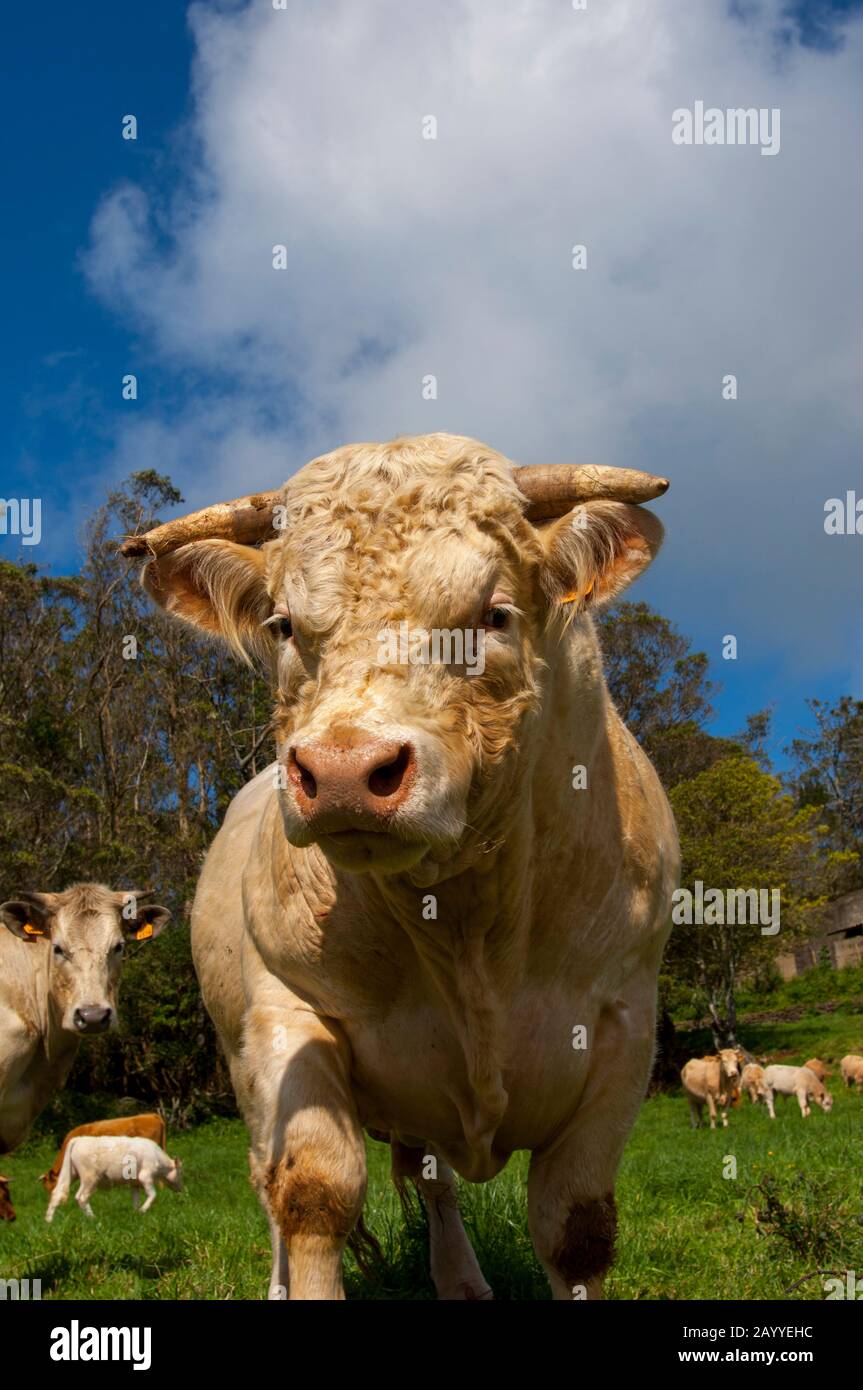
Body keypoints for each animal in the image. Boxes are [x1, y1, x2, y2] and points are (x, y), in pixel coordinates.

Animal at [45, 1135, 182, 1223]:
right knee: (82, 1197)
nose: (180, 1188)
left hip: (71, 1173)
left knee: (57, 1193)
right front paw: (143, 1210)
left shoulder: (135, 1183)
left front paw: (136, 1214)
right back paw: (93, 1218)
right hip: (89, 1177)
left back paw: (48, 1221)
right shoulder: (146, 1177)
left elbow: (135, 1200)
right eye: (181, 1172)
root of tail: (79, 1139)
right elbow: (153, 1195)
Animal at [125, 432, 678, 1301]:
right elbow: (313, 1197)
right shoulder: (287, 1013)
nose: (344, 772)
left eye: (492, 615)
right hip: (244, 1067)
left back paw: (460, 1279)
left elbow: (576, 1227)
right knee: (270, 1182)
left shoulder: (624, 1025)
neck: (468, 925)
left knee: (432, 1181)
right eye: (283, 625)